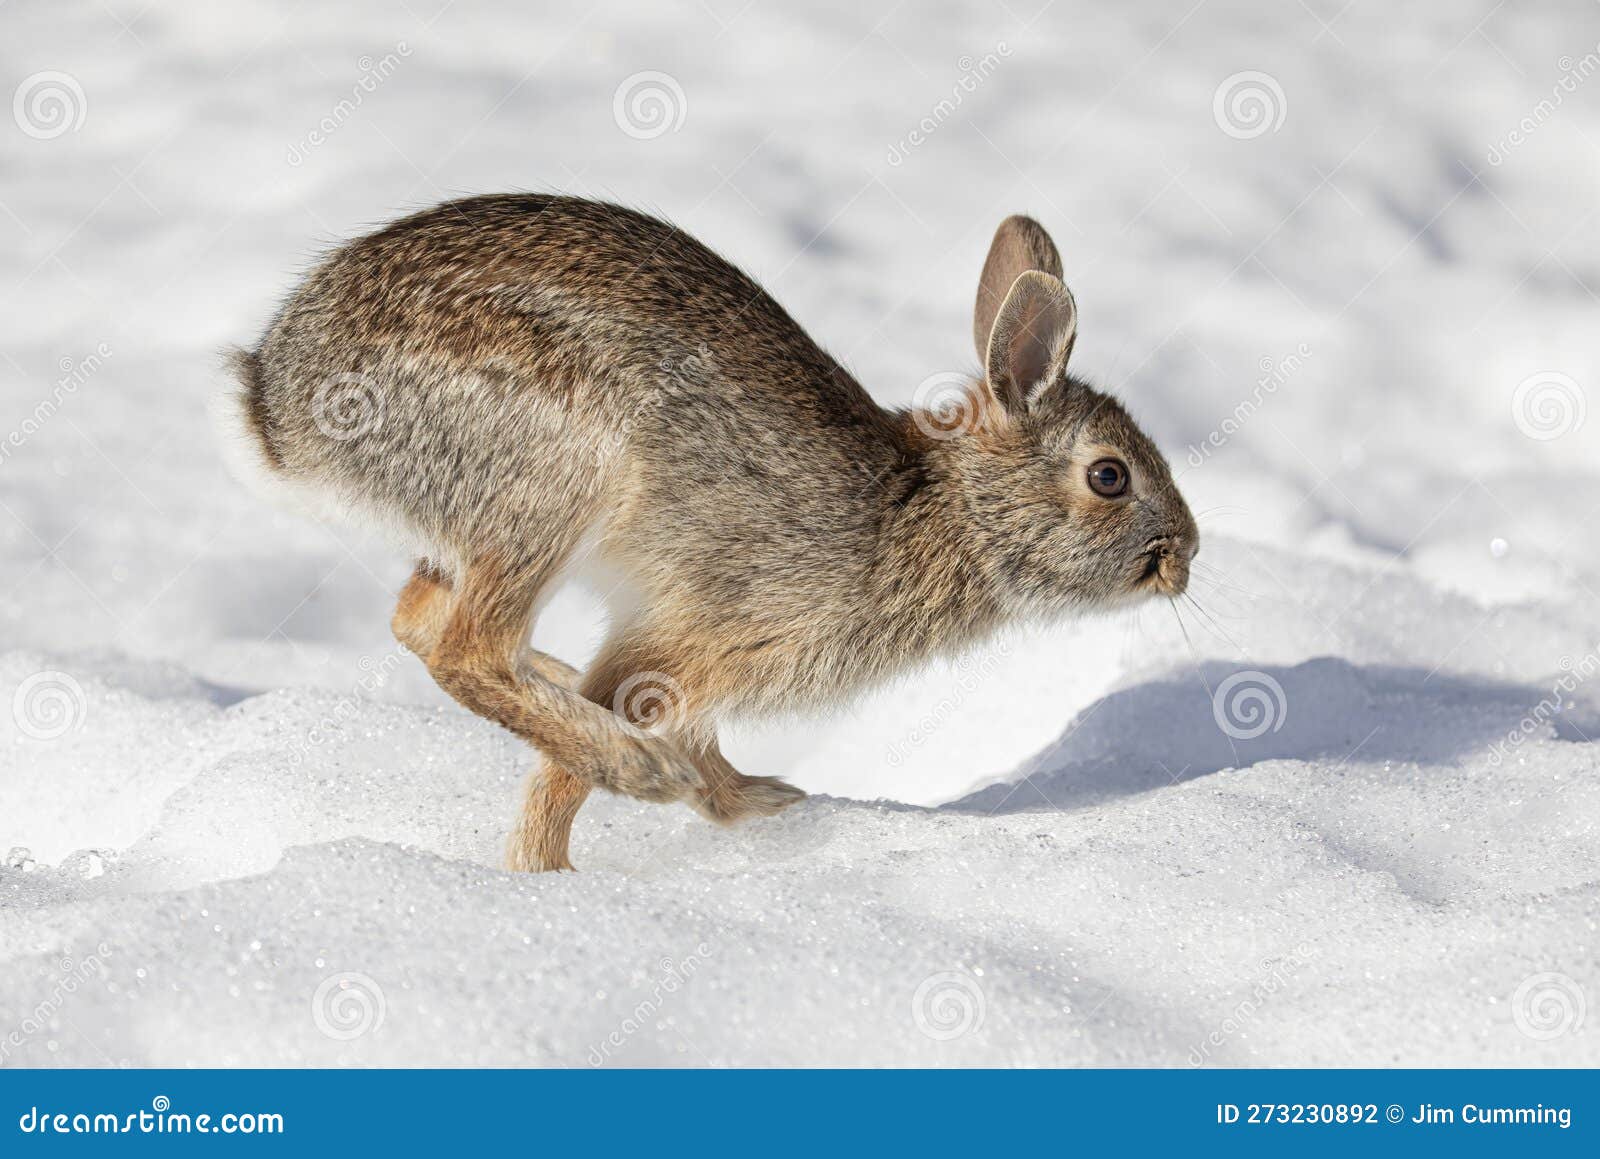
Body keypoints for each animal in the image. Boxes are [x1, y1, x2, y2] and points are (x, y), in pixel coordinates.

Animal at [224, 194, 1198, 872]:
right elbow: (582, 763)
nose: (1185, 558)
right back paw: (637, 768)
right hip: (554, 477)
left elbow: (702, 747)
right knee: (469, 651)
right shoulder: (703, 638)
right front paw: (544, 874)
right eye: (1110, 477)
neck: (941, 507)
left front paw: (771, 804)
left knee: (421, 618)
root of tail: (277, 407)